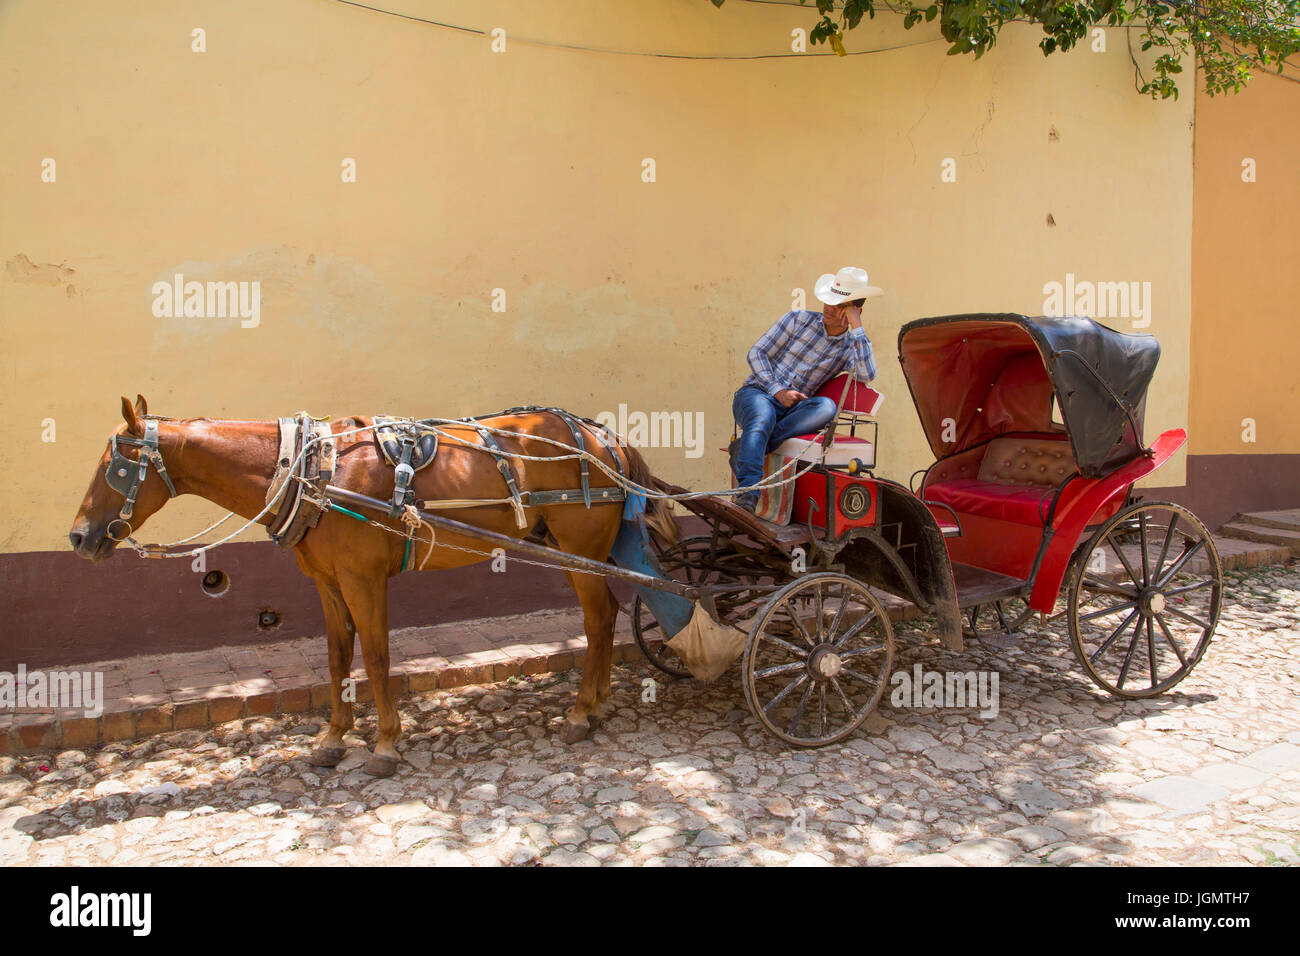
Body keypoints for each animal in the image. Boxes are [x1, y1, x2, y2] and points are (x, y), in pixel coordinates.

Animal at [69, 395, 676, 776]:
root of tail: (603, 437)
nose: (79, 537)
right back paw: (595, 705)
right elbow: (338, 656)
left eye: (115, 467)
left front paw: (384, 744)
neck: (311, 470)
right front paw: (333, 739)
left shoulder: (364, 580)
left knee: (597, 619)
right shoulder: (327, 582)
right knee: (606, 615)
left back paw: (579, 712)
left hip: (580, 547)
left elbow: (379, 657)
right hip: (579, 549)